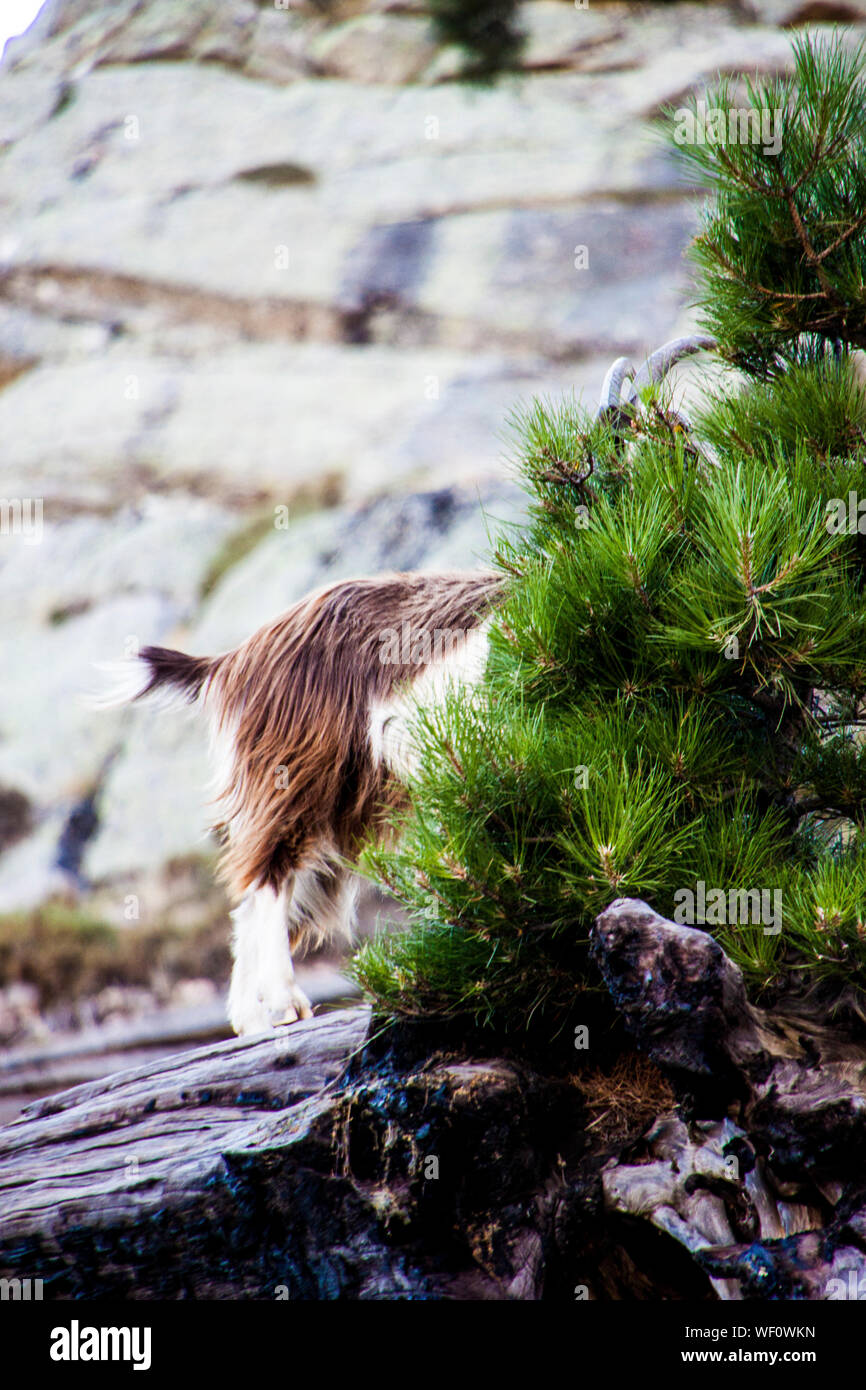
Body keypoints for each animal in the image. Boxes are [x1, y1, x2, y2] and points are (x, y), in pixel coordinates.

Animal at [104, 336, 712, 1035]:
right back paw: (281, 1005)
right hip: (294, 767)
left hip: (347, 796)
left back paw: (252, 1017)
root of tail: (236, 659)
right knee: (267, 874)